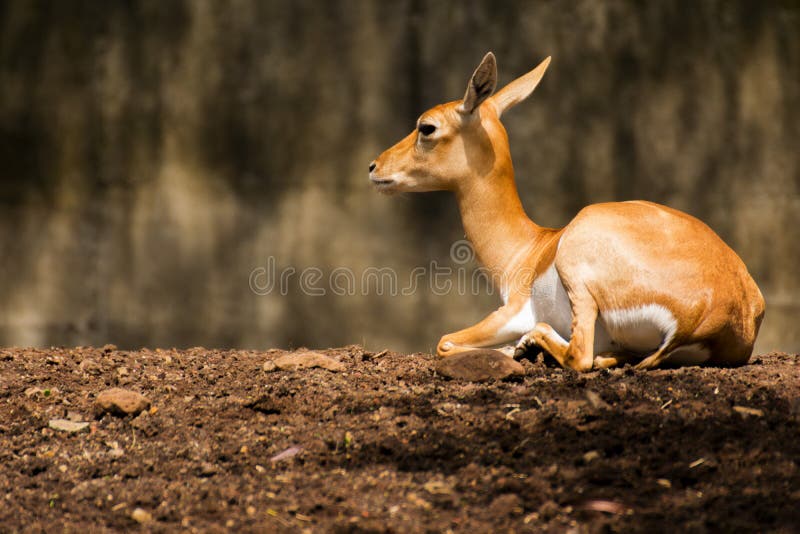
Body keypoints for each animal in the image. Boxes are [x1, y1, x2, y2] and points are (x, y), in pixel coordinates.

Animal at [369, 52, 765, 371]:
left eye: (426, 127)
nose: (374, 167)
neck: (530, 247)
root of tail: (709, 312)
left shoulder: (511, 313)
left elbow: (444, 341)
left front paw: (518, 348)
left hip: (577, 270)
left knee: (580, 356)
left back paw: (529, 346)